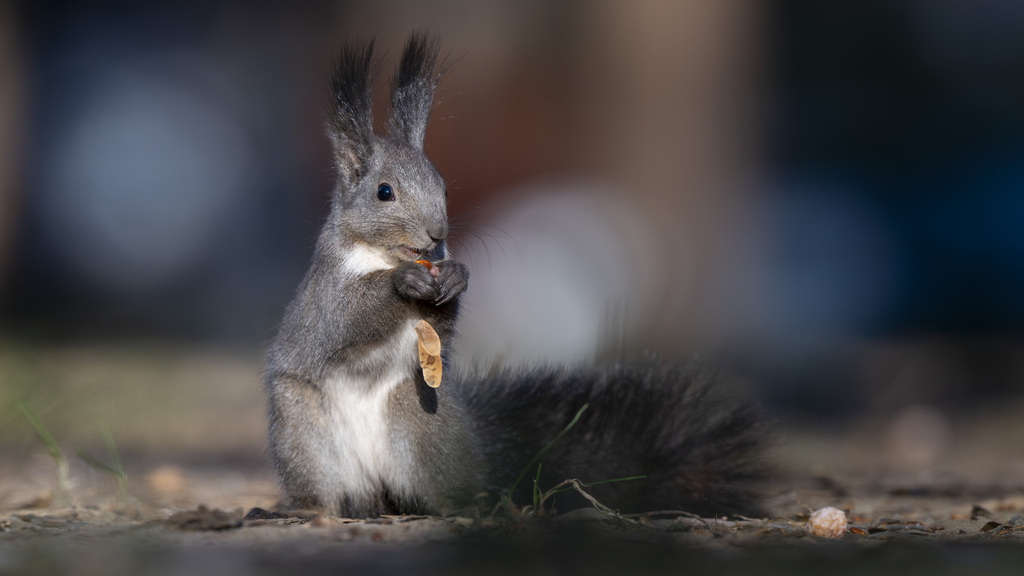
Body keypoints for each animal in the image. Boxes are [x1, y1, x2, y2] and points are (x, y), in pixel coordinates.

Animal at [265, 34, 767, 519]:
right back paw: (300, 512)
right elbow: (344, 320)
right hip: (303, 429)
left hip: (419, 418)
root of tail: (374, 492)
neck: (386, 257)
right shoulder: (327, 293)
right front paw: (403, 283)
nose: (438, 234)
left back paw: (467, 509)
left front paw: (456, 279)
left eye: (442, 184)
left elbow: (439, 330)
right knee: (324, 493)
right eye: (383, 192)